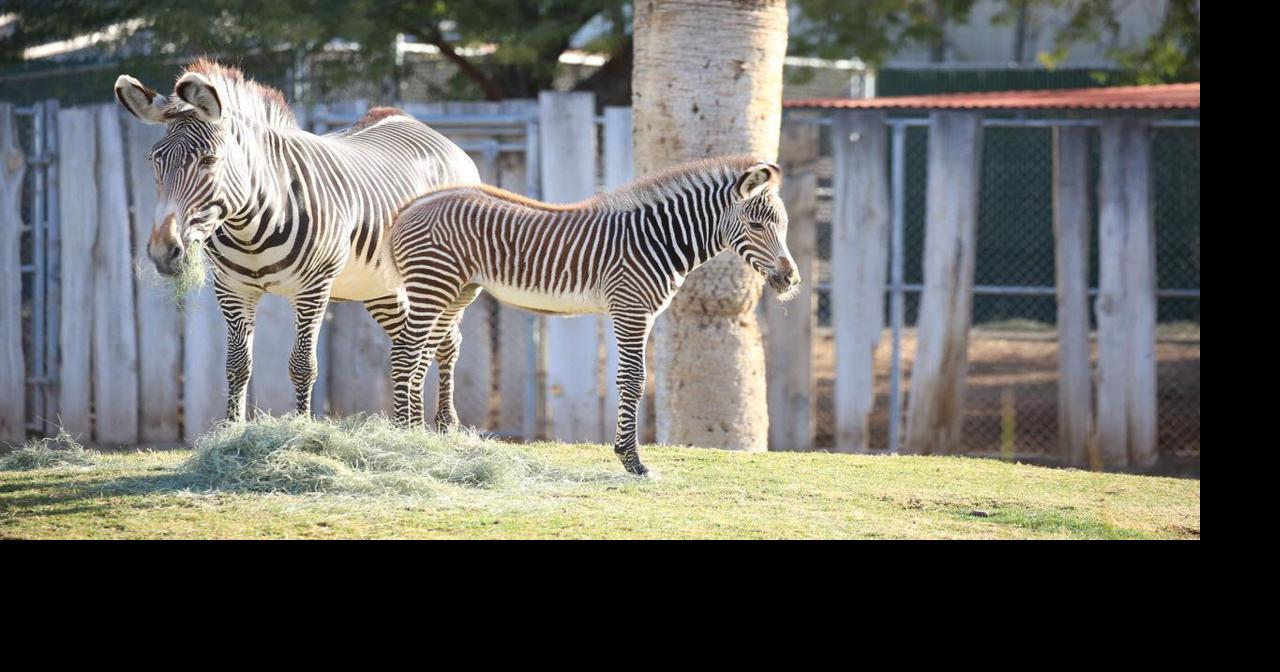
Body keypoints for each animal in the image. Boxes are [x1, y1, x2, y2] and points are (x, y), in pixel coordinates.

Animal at [114, 59, 481, 426]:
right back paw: (410, 426)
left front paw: (301, 427)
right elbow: (237, 365)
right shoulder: (232, 288)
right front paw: (232, 429)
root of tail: (430, 132)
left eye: (209, 161)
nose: (163, 250)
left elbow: (303, 365)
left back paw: (442, 423)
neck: (249, 229)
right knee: (412, 344)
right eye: (154, 160)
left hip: (443, 278)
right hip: (380, 287)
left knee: (444, 340)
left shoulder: (313, 288)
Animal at [387, 156, 801, 475]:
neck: (656, 241)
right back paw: (402, 436)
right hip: (433, 284)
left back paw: (417, 436)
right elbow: (633, 380)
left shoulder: (641, 313)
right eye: (755, 225)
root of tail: (410, 207)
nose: (791, 279)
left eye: (783, 225)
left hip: (457, 291)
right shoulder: (631, 309)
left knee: (426, 352)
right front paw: (632, 462)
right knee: (406, 351)